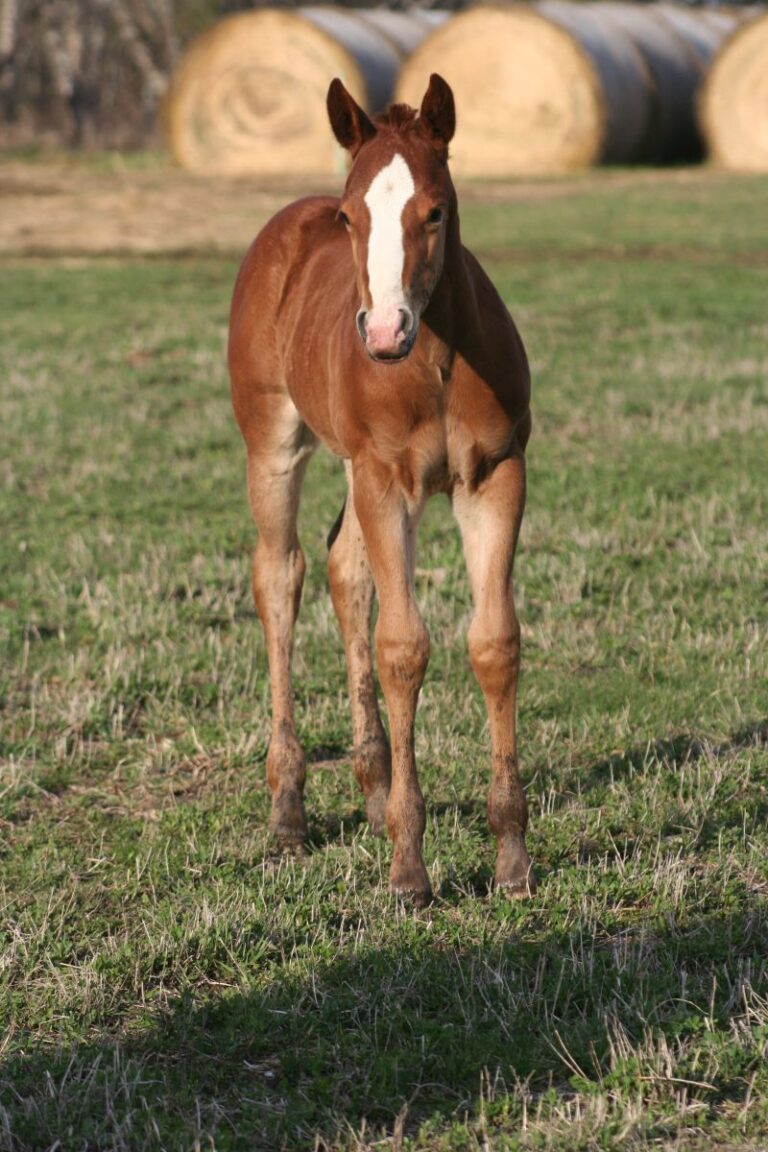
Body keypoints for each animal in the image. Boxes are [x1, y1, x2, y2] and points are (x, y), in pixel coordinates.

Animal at [228, 74, 534, 906]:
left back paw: (372, 786)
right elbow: (403, 648)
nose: (384, 333)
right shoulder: (387, 483)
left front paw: (512, 858)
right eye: (351, 216)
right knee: (282, 576)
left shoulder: (495, 477)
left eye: (436, 210)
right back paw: (290, 810)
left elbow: (493, 643)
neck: (435, 364)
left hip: (352, 464)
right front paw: (410, 871)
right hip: (276, 444)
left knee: (345, 570)